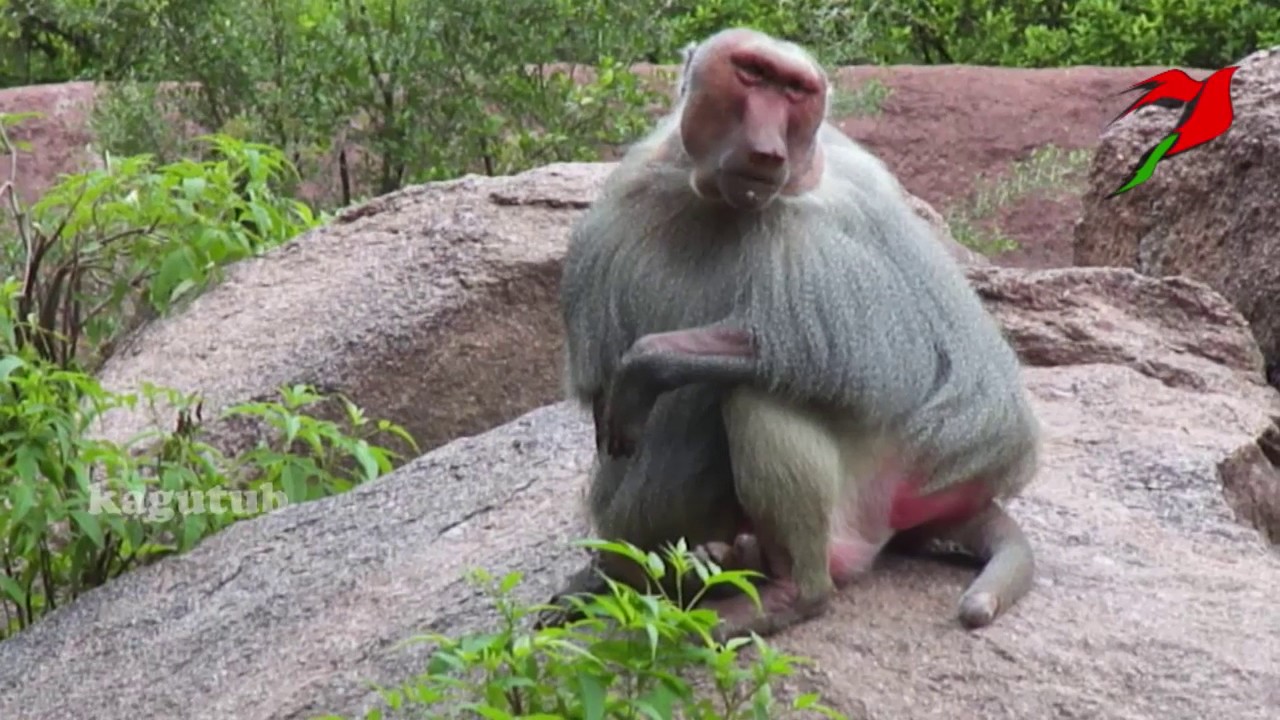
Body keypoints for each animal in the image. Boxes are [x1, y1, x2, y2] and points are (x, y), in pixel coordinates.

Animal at [548, 27, 1040, 641]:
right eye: (752, 75)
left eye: (795, 91)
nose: (768, 151)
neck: (711, 199)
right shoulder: (624, 203)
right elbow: (602, 400)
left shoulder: (818, 231)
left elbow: (878, 368)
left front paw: (645, 365)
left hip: (866, 494)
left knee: (758, 392)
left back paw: (787, 594)